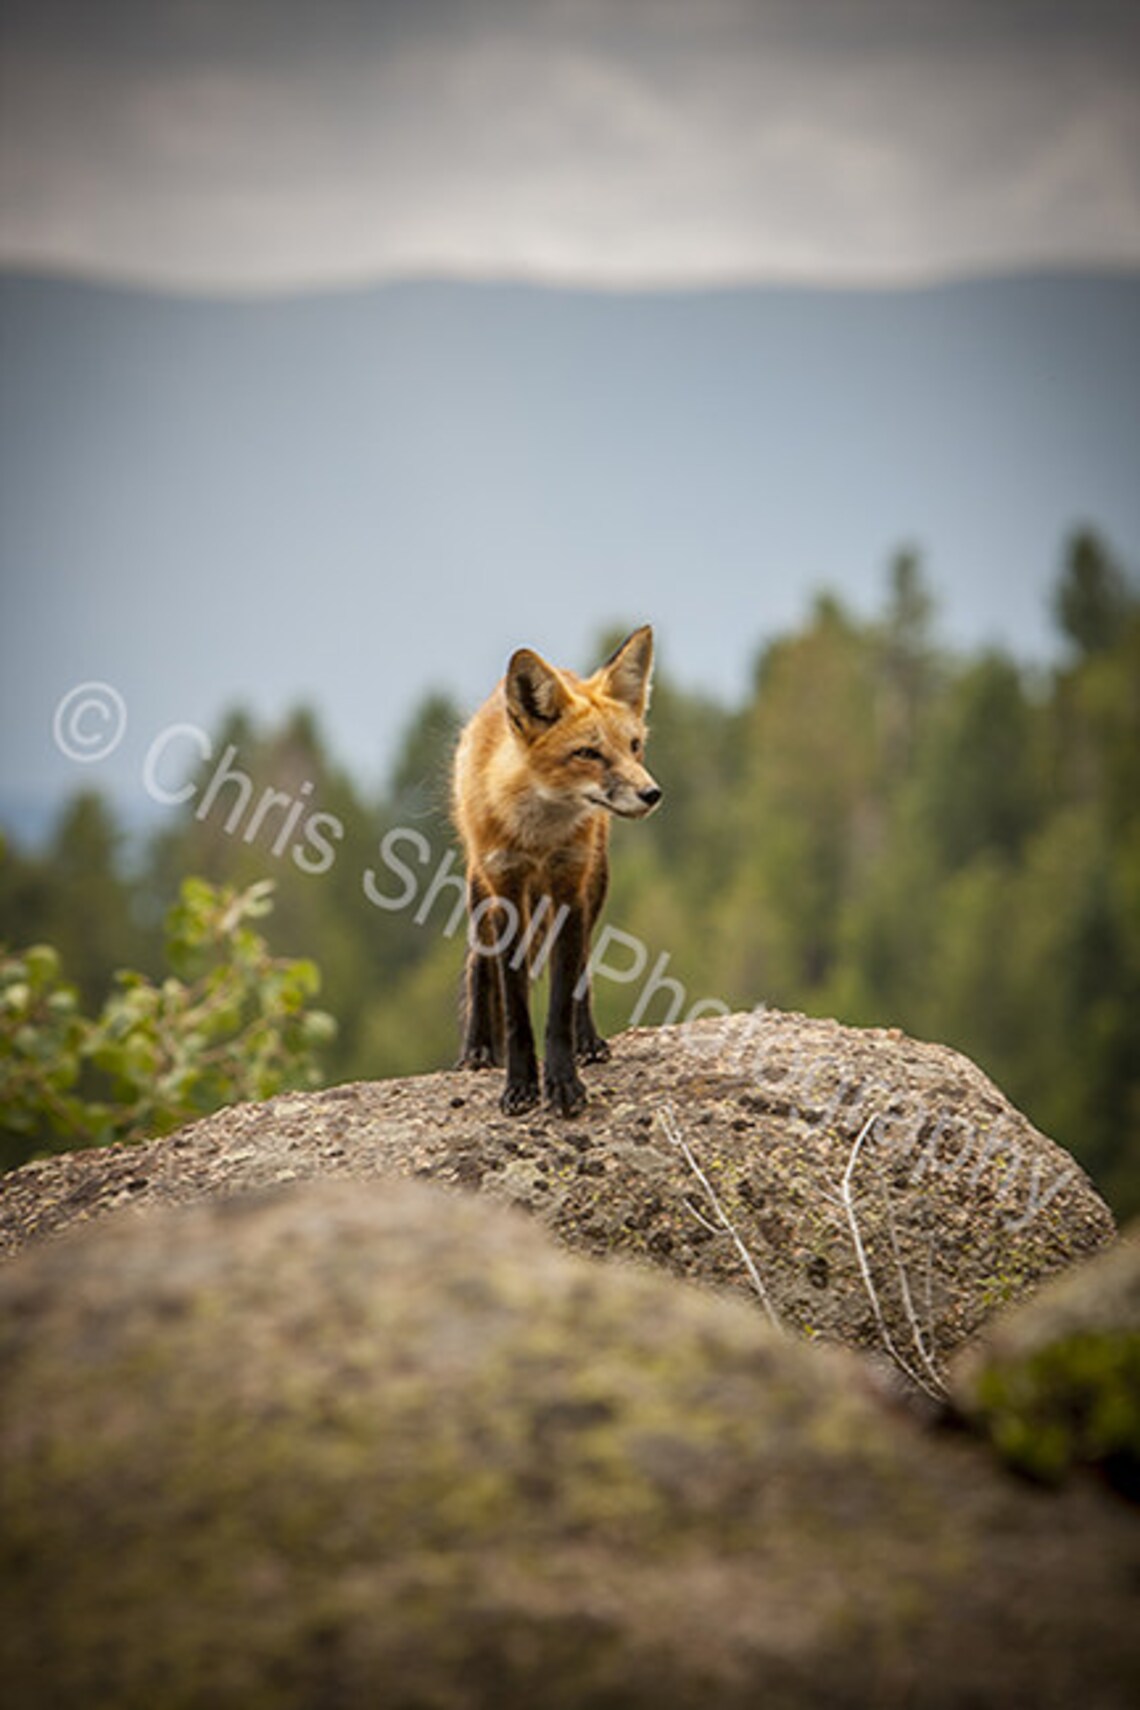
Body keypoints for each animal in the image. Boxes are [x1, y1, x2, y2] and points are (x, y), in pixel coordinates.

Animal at [452, 624, 661, 1117]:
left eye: (634, 746)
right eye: (588, 753)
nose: (652, 794)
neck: (537, 837)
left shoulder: (569, 883)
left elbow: (561, 1002)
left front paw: (564, 1082)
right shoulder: (505, 886)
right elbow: (515, 1010)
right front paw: (519, 1086)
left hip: (595, 882)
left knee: (581, 963)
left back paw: (589, 1041)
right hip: (479, 888)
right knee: (479, 963)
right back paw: (477, 1049)